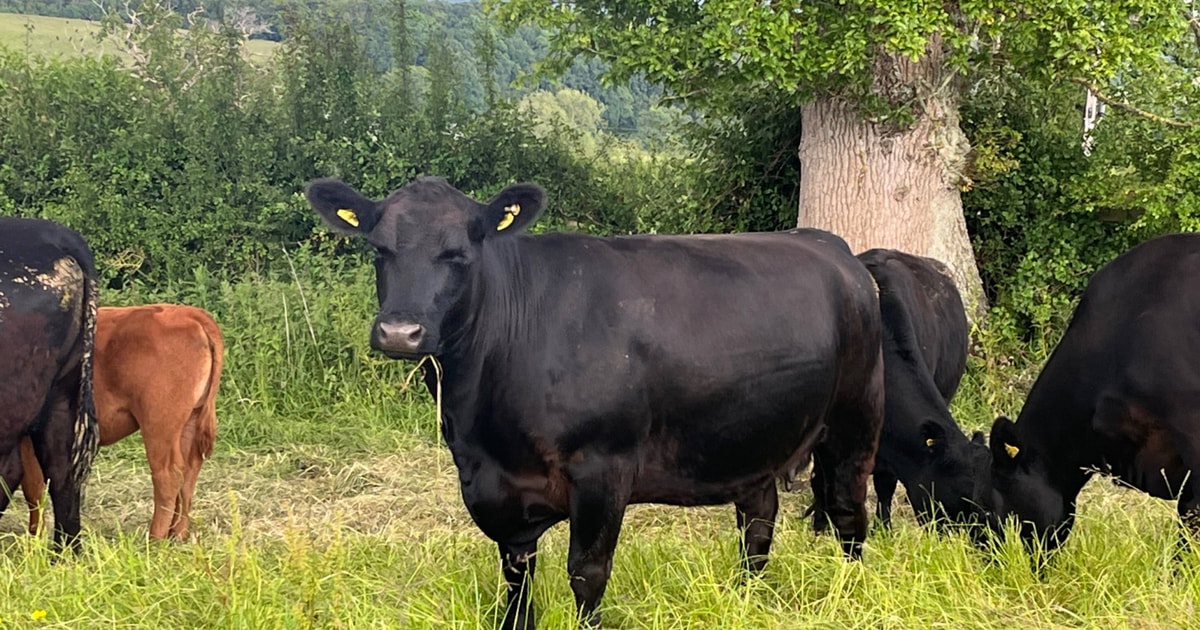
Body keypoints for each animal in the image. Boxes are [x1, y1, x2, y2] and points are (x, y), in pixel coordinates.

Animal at [20, 304, 223, 541]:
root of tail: (189, 313)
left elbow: (33, 487)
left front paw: (34, 538)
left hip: (158, 424)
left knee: (168, 475)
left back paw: (155, 538)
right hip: (189, 420)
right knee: (189, 472)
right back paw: (177, 533)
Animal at [305, 176, 886, 630]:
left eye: (458, 256)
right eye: (380, 251)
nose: (399, 332)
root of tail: (831, 246)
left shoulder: (603, 469)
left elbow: (587, 575)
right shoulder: (497, 487)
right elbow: (516, 577)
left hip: (855, 422)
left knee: (849, 513)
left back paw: (850, 592)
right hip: (755, 436)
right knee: (758, 521)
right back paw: (744, 598)